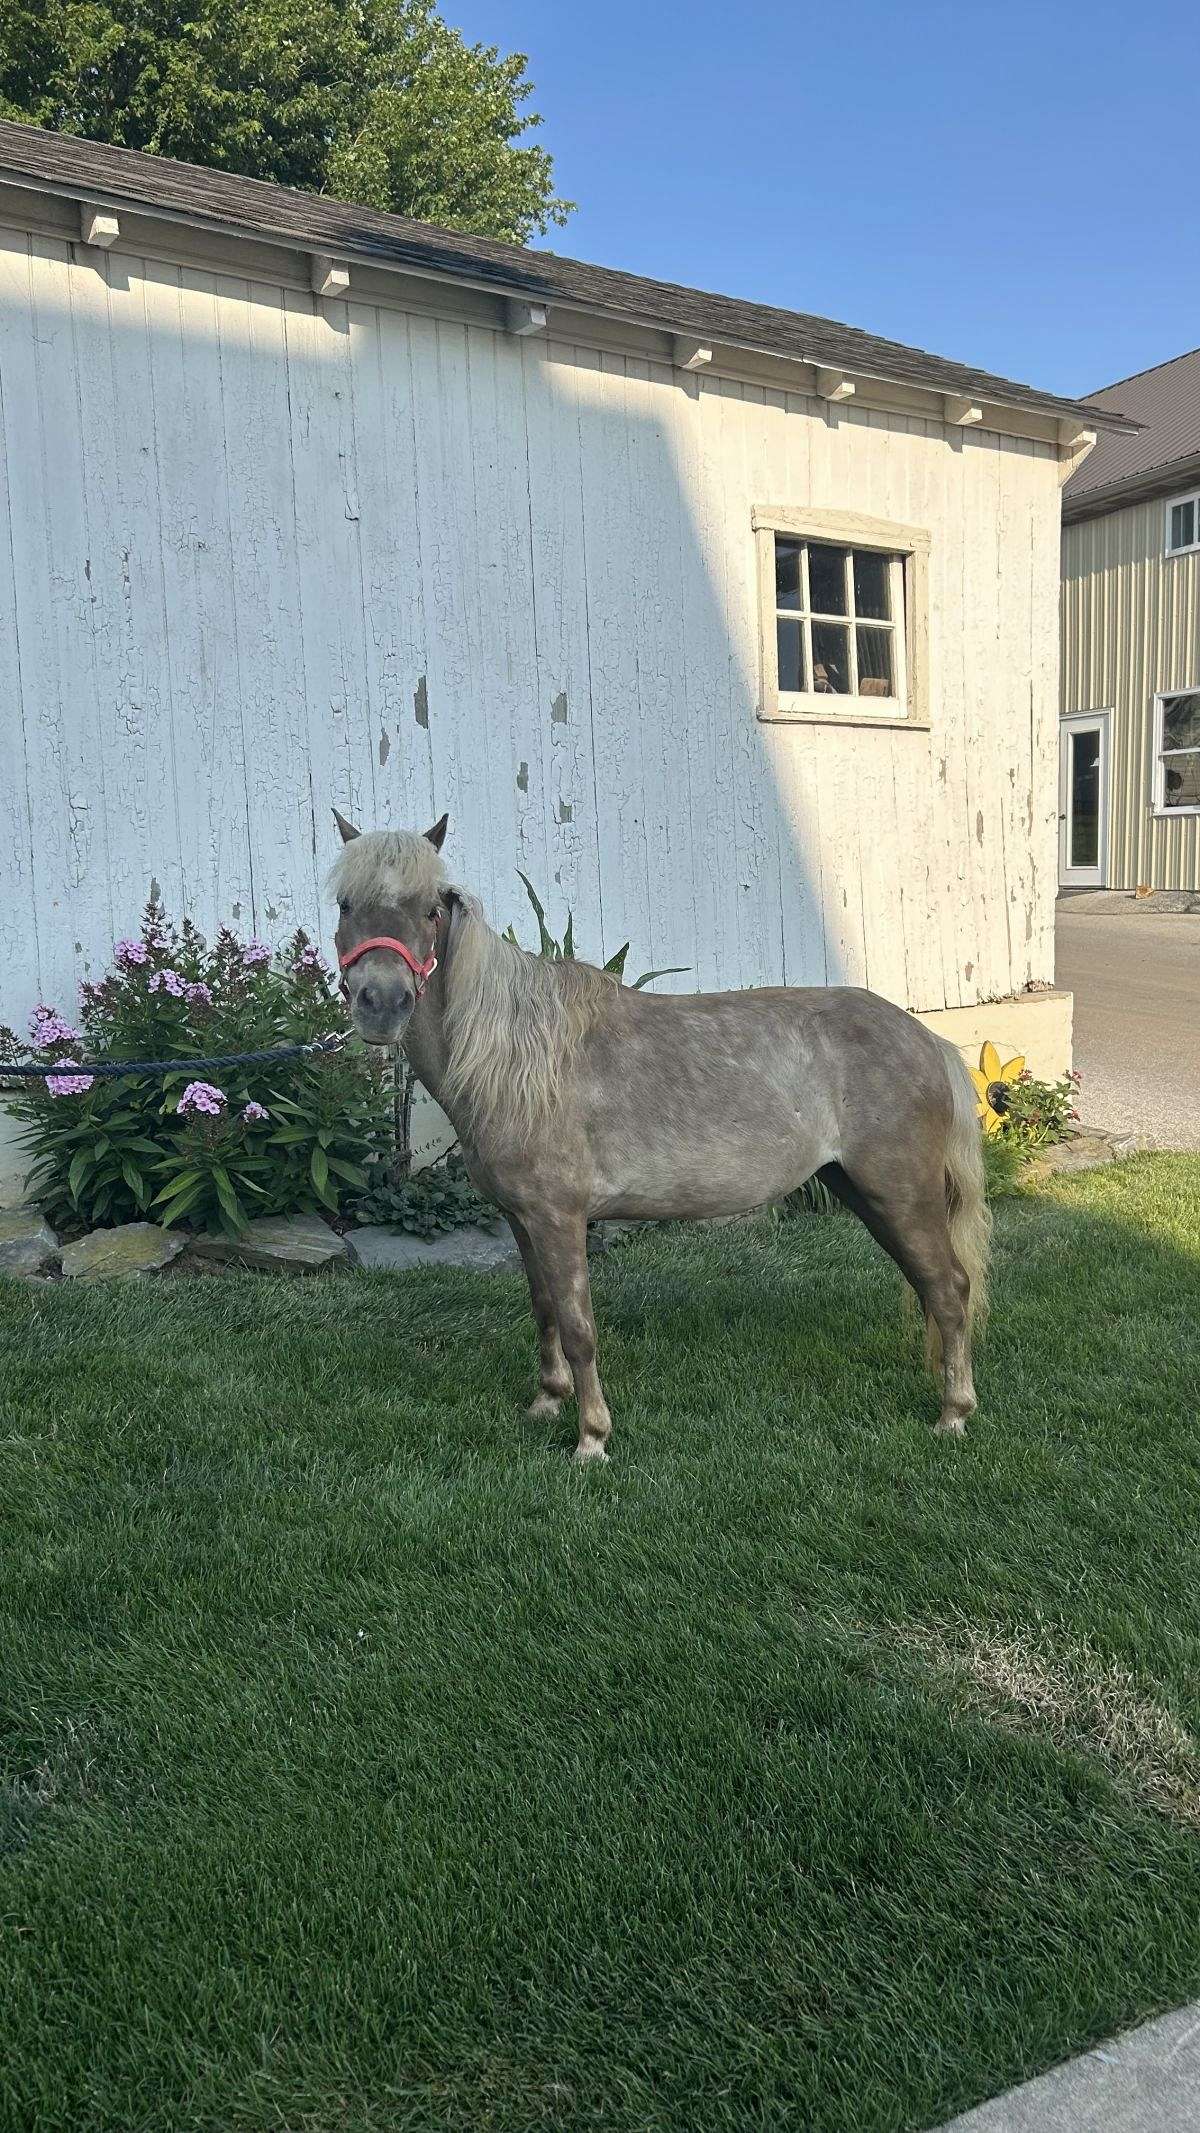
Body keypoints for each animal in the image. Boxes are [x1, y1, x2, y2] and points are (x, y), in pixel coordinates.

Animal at [330, 814, 990, 1461]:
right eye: (344, 903)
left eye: (430, 910)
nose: (381, 1003)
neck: (516, 1056)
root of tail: (926, 1039)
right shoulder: (520, 1220)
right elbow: (544, 1310)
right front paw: (546, 1403)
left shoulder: (559, 1218)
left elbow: (578, 1326)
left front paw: (591, 1438)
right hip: (862, 1192)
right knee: (930, 1286)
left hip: (900, 1193)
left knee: (948, 1289)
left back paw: (954, 1414)